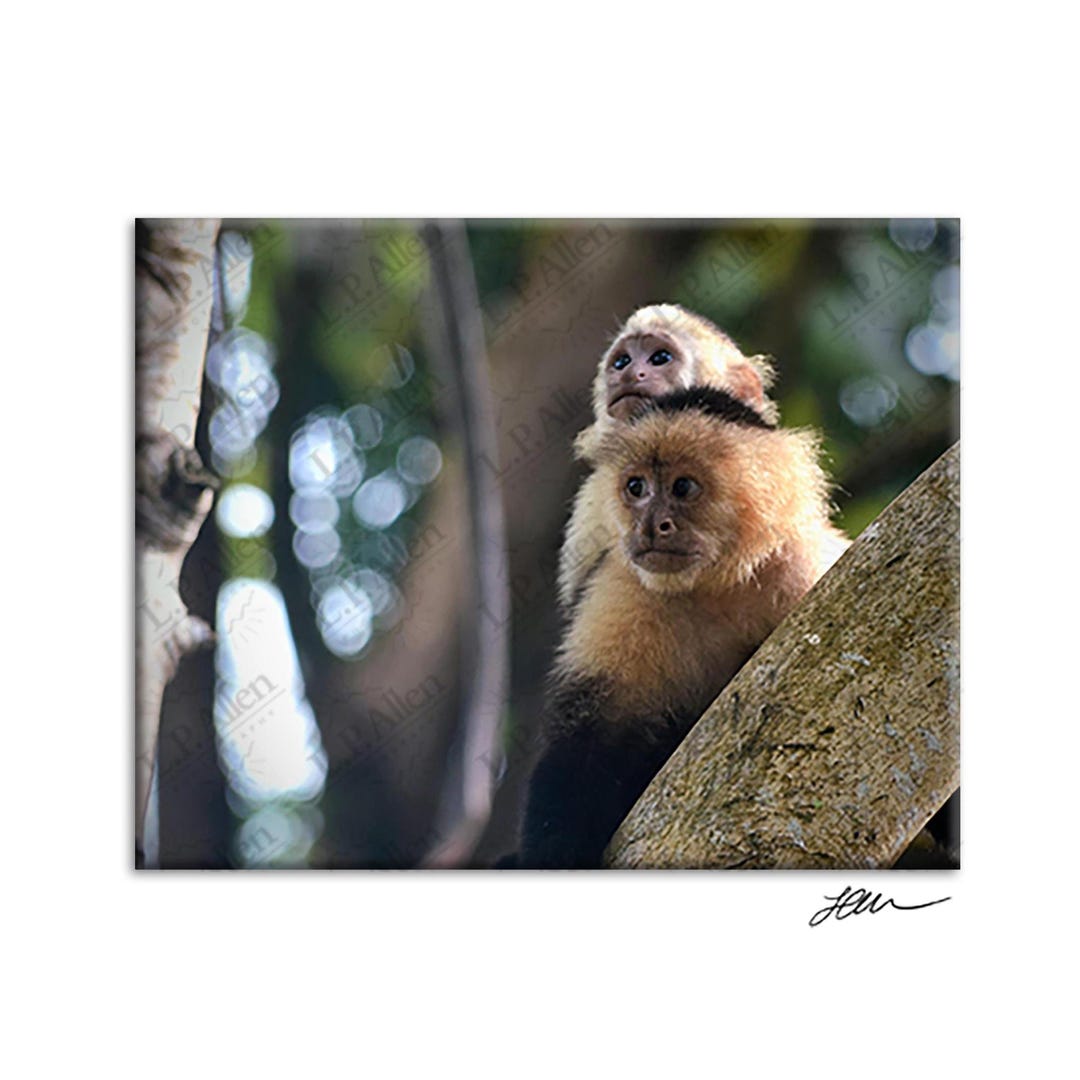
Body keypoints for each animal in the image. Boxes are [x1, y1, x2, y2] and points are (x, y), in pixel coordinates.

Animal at [516, 385, 850, 868]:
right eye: (636, 487)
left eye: (683, 487)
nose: (651, 525)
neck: (716, 586)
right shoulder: (622, 587)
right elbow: (587, 744)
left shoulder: (807, 567)